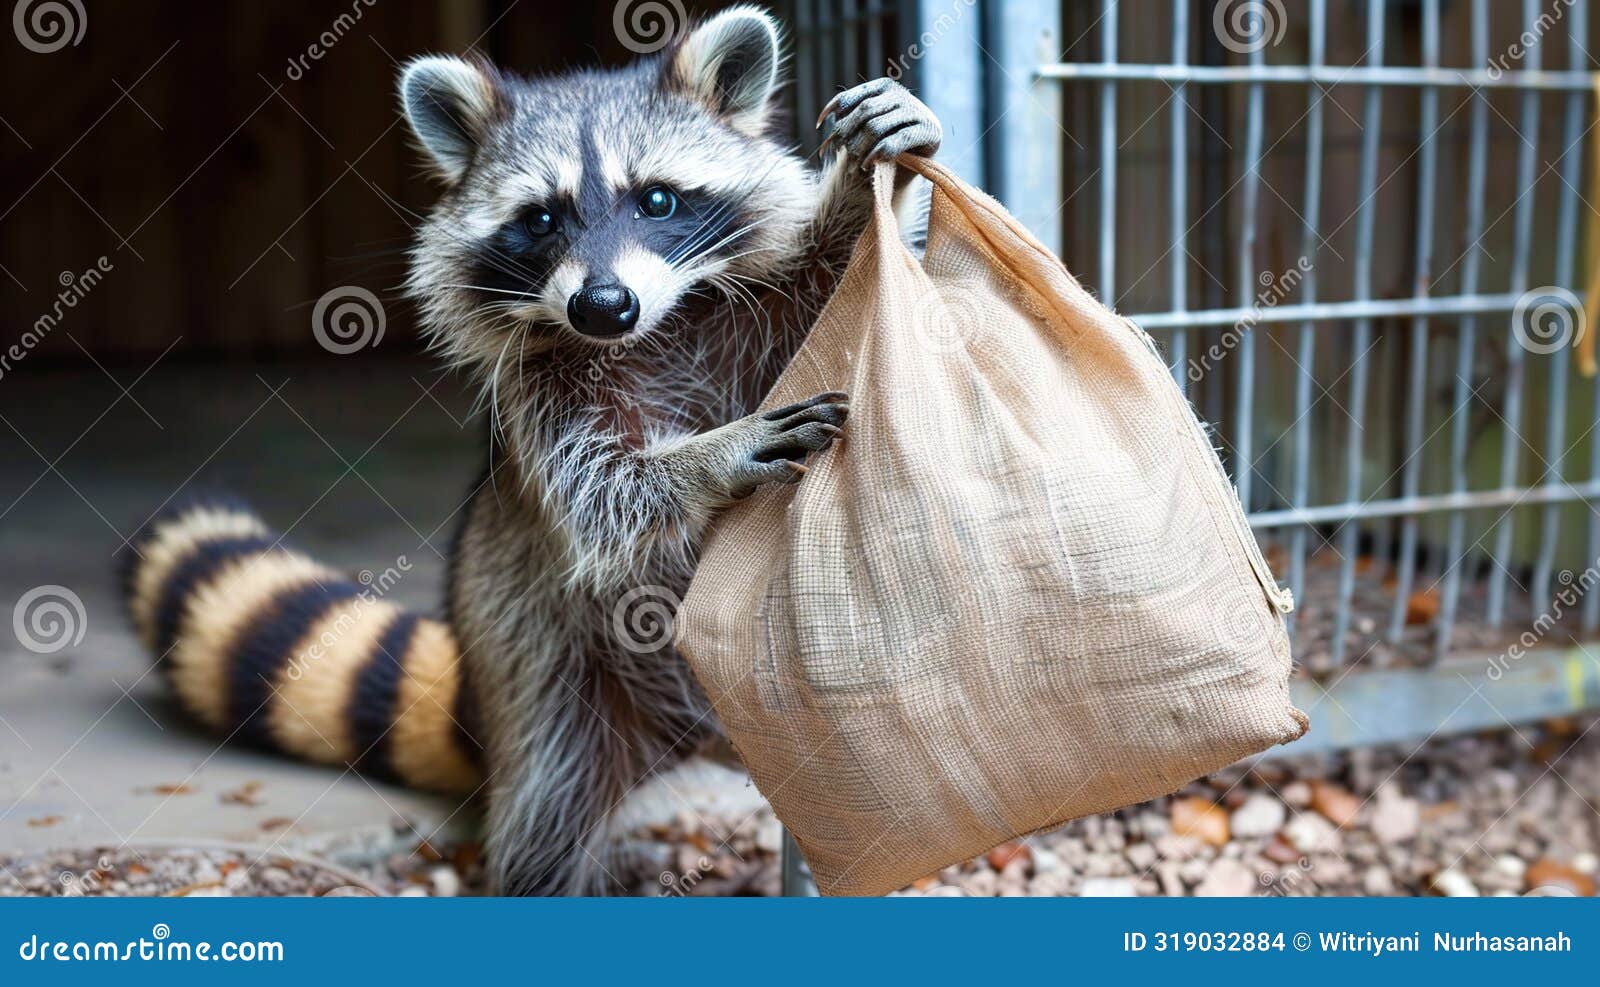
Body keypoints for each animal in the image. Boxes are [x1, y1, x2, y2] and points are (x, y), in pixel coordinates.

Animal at [122, 5, 940, 896]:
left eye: (657, 199)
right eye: (541, 218)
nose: (604, 306)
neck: (650, 330)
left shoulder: (753, 327)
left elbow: (833, 281)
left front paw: (869, 188)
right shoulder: (541, 400)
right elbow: (604, 494)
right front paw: (707, 458)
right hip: (542, 672)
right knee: (548, 823)